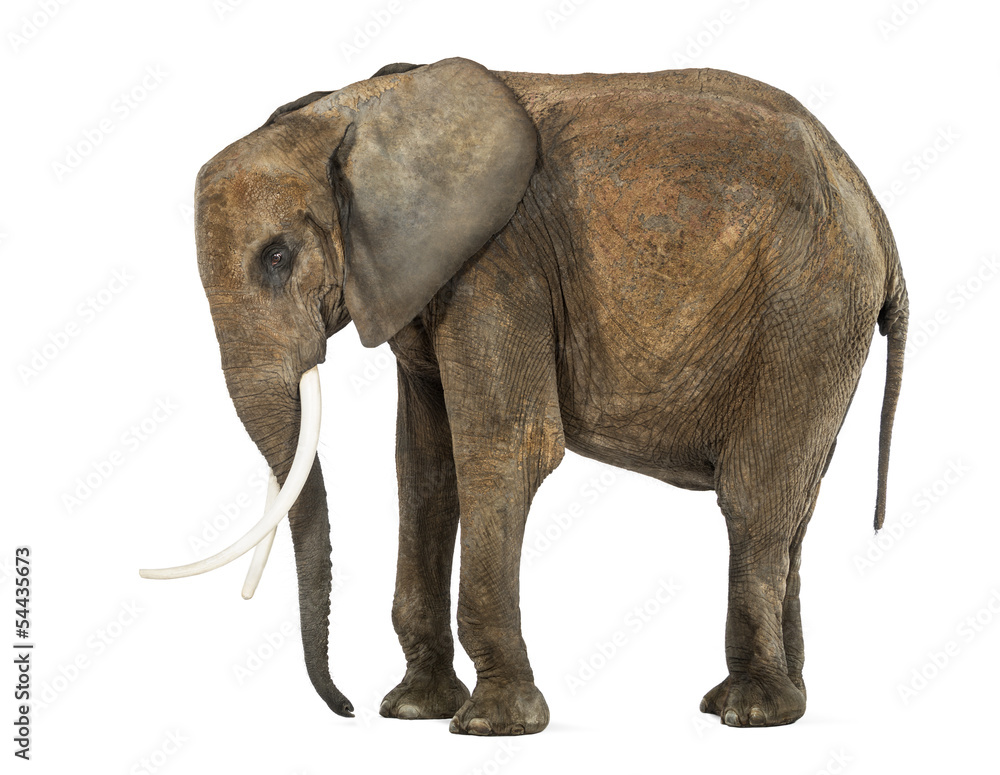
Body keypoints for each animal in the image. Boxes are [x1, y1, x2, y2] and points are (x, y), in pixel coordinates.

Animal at [140, 57, 907, 735]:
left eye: (276, 257)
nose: (345, 708)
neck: (353, 110)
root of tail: (875, 211)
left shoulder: (499, 267)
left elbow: (506, 453)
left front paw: (491, 725)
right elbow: (425, 470)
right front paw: (413, 711)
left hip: (809, 307)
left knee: (755, 495)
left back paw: (751, 712)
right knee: (796, 506)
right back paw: (775, 701)